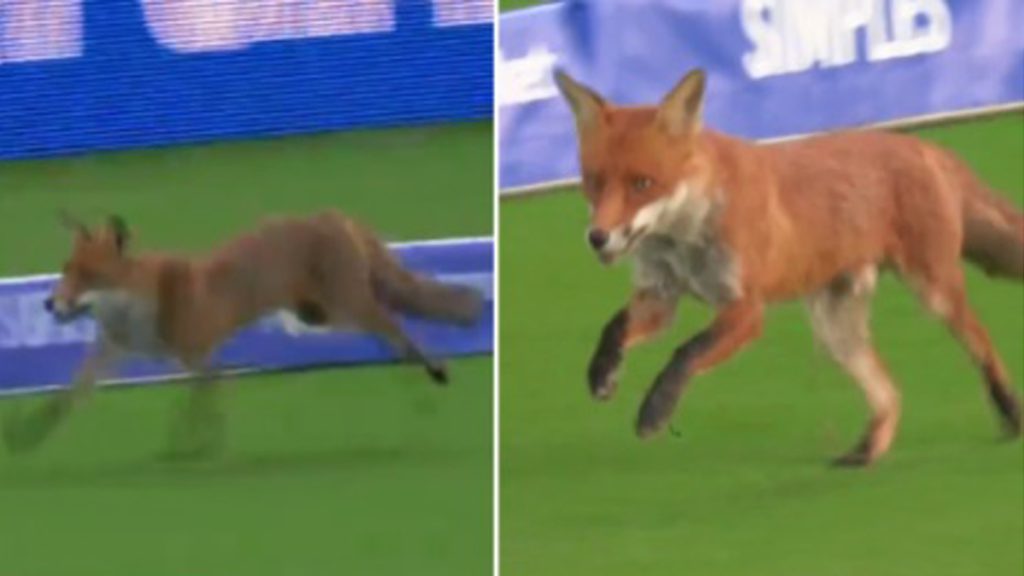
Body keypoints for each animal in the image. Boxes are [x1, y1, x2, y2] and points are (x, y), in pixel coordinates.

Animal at [2, 210, 484, 456]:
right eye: (67, 270)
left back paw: (435, 368)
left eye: (88, 276)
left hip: (347, 308)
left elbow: (206, 400)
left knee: (397, 328)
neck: (135, 307)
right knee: (401, 325)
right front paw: (29, 435)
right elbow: (67, 398)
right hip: (321, 314)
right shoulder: (113, 349)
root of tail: (335, 216)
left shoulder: (198, 356)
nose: (49, 304)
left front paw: (194, 447)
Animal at [553, 66, 1023, 466]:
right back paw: (866, 452)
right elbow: (613, 328)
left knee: (981, 344)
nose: (598, 237)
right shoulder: (659, 296)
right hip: (836, 329)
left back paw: (1010, 413)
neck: (684, 238)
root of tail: (923, 146)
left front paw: (655, 410)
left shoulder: (746, 308)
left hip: (933, 293)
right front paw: (602, 373)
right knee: (891, 392)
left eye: (643, 183)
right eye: (594, 182)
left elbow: (687, 352)